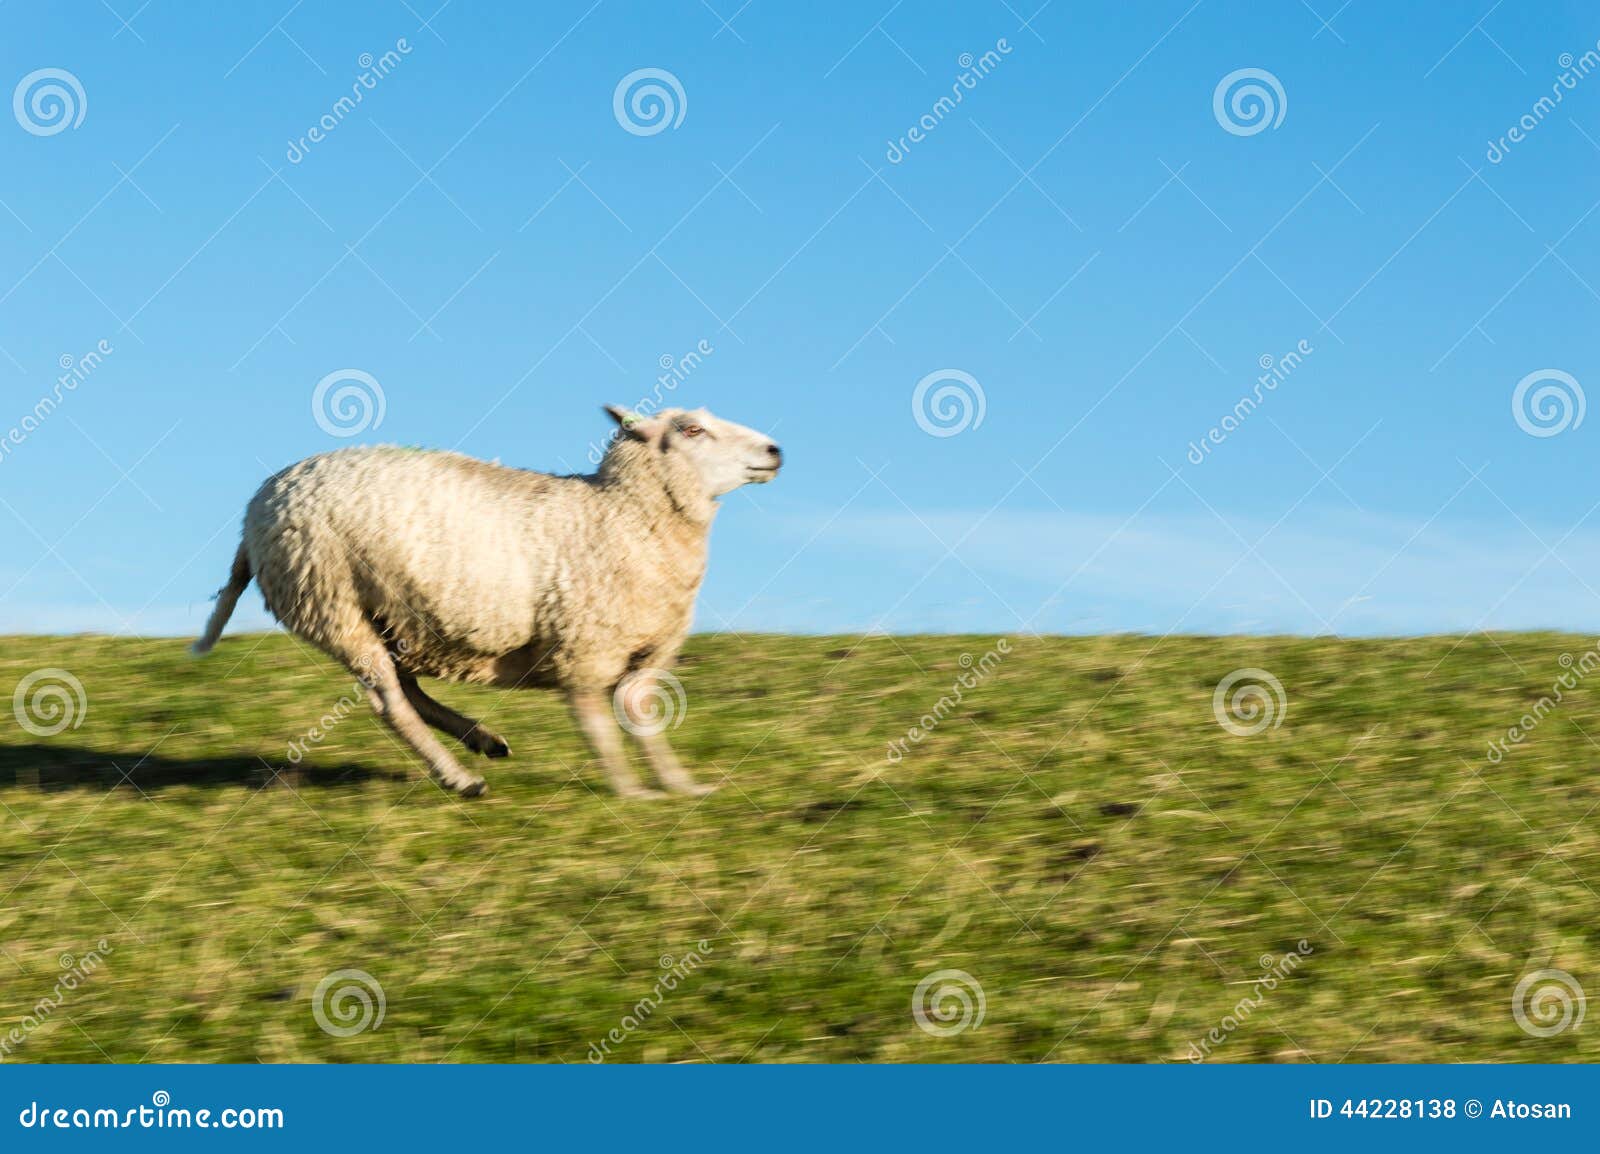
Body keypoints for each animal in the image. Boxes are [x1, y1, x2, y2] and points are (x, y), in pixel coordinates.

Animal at [192, 405, 782, 798]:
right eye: (692, 429)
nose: (775, 450)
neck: (623, 513)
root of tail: (260, 503)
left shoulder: (646, 650)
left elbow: (643, 717)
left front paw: (681, 785)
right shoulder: (584, 648)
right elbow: (598, 722)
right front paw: (630, 790)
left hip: (387, 617)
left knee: (408, 690)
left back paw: (484, 741)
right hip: (333, 604)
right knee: (390, 703)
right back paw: (459, 777)